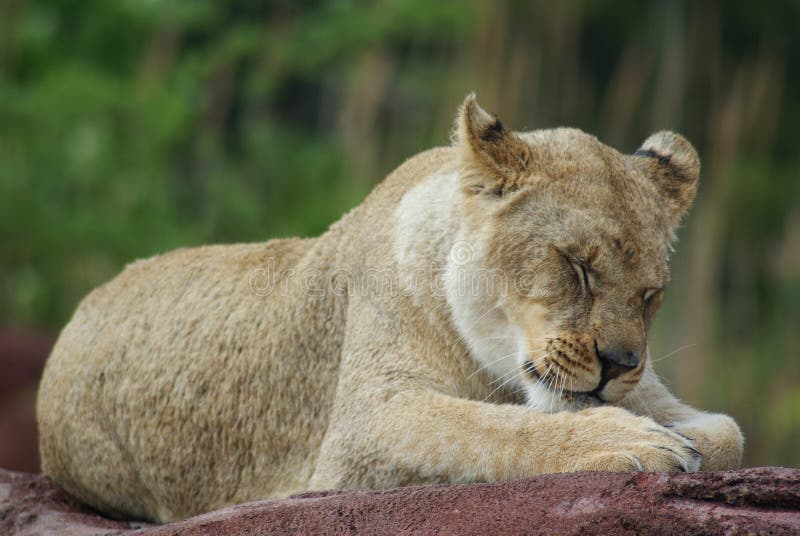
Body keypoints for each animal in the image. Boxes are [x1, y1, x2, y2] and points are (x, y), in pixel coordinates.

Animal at [37, 94, 744, 523]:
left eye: (651, 295)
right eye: (576, 266)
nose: (620, 363)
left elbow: (728, 433)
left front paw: (674, 437)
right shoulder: (361, 430)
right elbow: (489, 429)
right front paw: (629, 440)